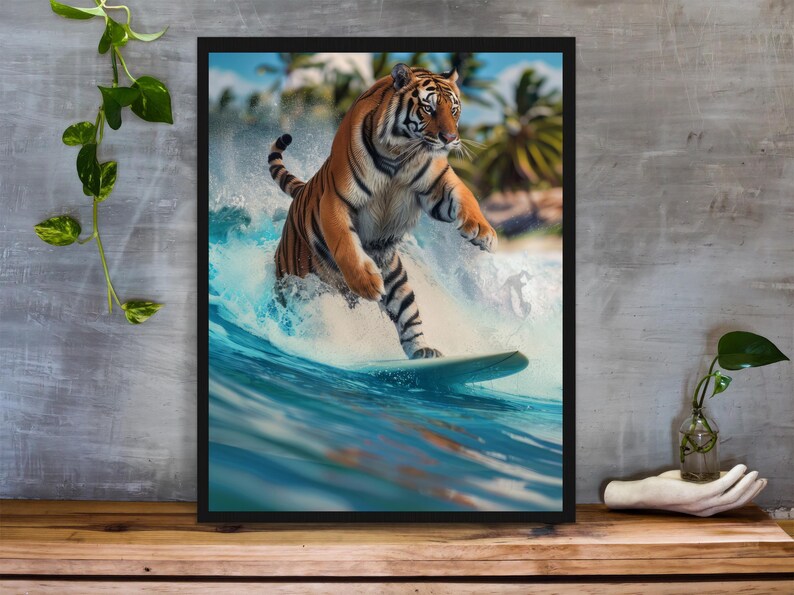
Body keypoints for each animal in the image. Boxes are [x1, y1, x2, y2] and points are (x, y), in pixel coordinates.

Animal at [268, 63, 497, 359]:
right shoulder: (336, 199)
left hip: (397, 280)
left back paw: (424, 353)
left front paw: (483, 233)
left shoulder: (437, 185)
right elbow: (344, 243)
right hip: (296, 282)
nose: (450, 139)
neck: (402, 153)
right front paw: (367, 283)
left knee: (408, 317)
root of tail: (302, 189)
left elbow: (467, 199)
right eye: (429, 108)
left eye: (454, 110)